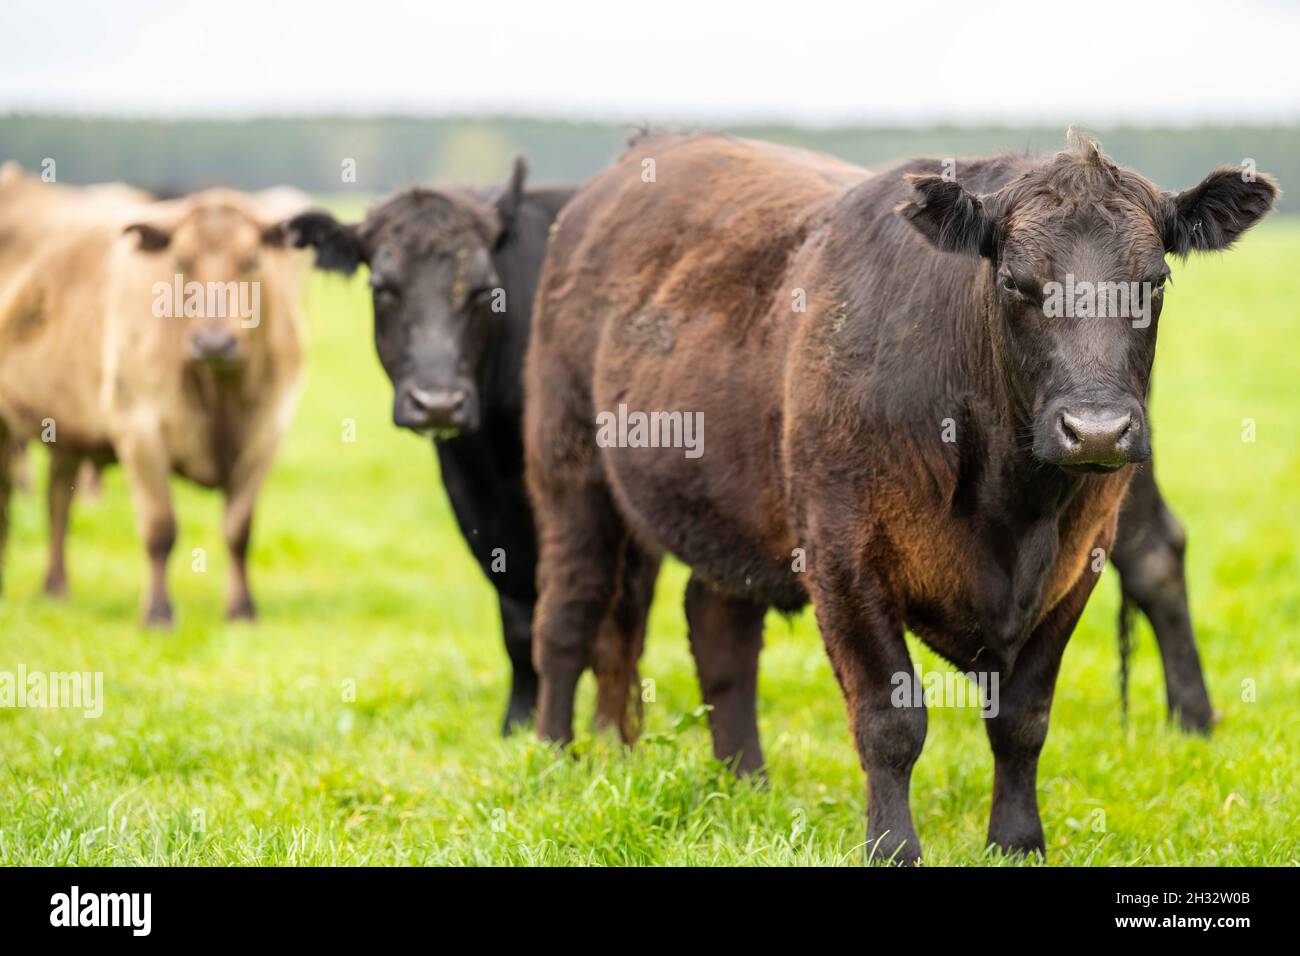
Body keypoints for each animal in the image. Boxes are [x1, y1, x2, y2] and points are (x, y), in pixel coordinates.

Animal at [0, 166, 309, 626]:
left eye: (251, 261)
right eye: (181, 262)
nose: (214, 342)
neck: (221, 394)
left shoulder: (267, 431)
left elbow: (238, 529)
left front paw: (241, 608)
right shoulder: (139, 429)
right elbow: (161, 528)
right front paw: (158, 612)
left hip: (66, 428)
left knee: (58, 501)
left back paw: (55, 587)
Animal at [283, 160, 658, 735]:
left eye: (484, 290)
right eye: (381, 287)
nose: (438, 403)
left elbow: (620, 619)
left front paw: (607, 730)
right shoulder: (478, 502)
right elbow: (519, 619)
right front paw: (519, 721)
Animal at [524, 131, 1275, 861]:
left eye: (1156, 281)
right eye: (1014, 281)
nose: (1096, 430)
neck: (1012, 504)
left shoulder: (1078, 562)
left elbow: (1024, 719)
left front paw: (1017, 841)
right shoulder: (842, 558)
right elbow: (891, 721)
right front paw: (892, 846)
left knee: (718, 627)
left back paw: (746, 785)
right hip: (570, 472)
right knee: (569, 614)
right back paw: (555, 758)